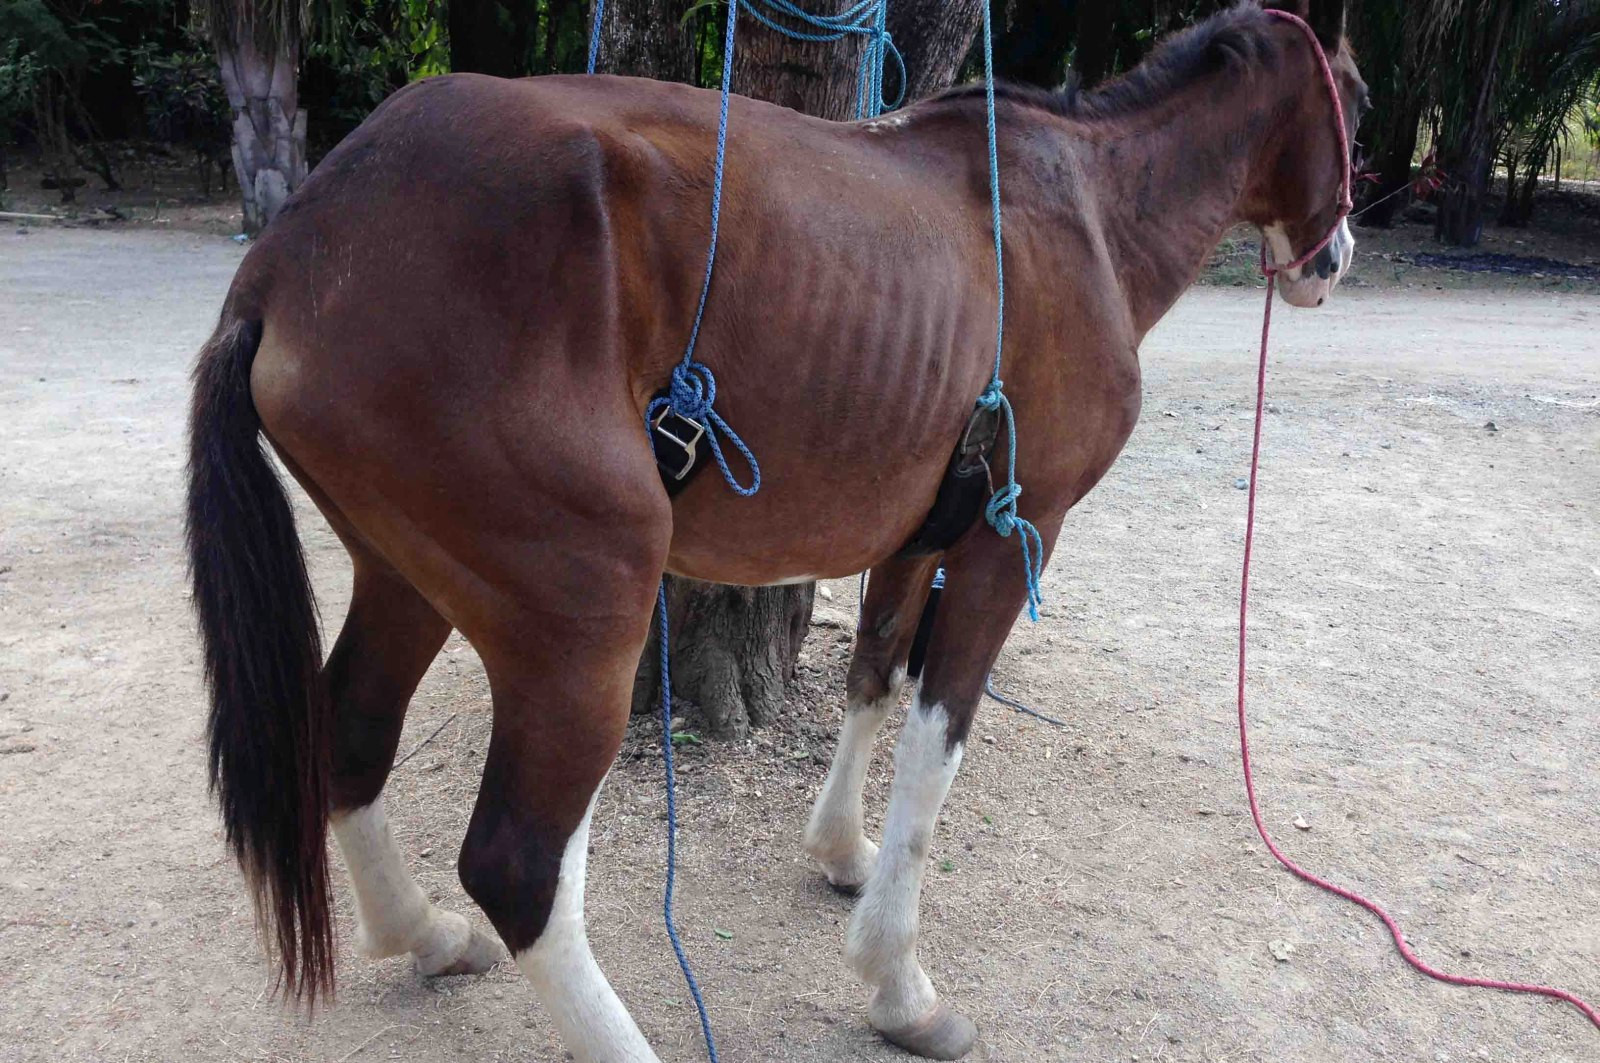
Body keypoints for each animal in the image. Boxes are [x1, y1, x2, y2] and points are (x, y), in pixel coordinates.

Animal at [185, 1, 1365, 1059]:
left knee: (351, 738)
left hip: (408, 577)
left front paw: (841, 849)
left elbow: (876, 677)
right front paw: (896, 981)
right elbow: (937, 743)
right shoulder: (1008, 537)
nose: (1336, 255)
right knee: (519, 863)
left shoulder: (914, 537)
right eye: (1352, 100)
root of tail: (294, 254)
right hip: (582, 611)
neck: (1081, 211)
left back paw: (422, 932)